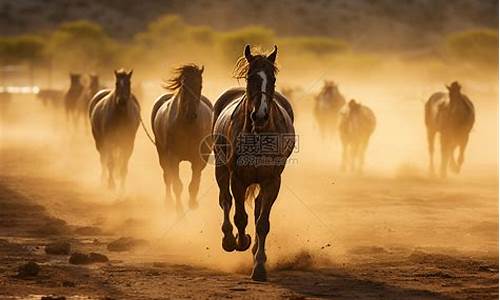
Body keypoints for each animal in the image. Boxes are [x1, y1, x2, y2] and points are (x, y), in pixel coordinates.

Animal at [150, 64, 213, 213]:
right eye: (184, 85)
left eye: (200, 85)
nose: (191, 114)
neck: (186, 125)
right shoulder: (173, 157)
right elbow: (177, 185)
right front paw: (178, 209)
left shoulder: (198, 158)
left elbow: (194, 183)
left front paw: (192, 203)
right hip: (162, 154)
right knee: (167, 177)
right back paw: (168, 203)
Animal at [213, 44, 294, 282]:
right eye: (250, 77)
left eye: (273, 79)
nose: (260, 115)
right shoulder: (238, 179)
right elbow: (240, 216)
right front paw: (241, 241)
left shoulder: (272, 181)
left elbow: (262, 223)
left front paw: (259, 266)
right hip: (221, 169)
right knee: (225, 201)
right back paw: (229, 240)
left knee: (257, 208)